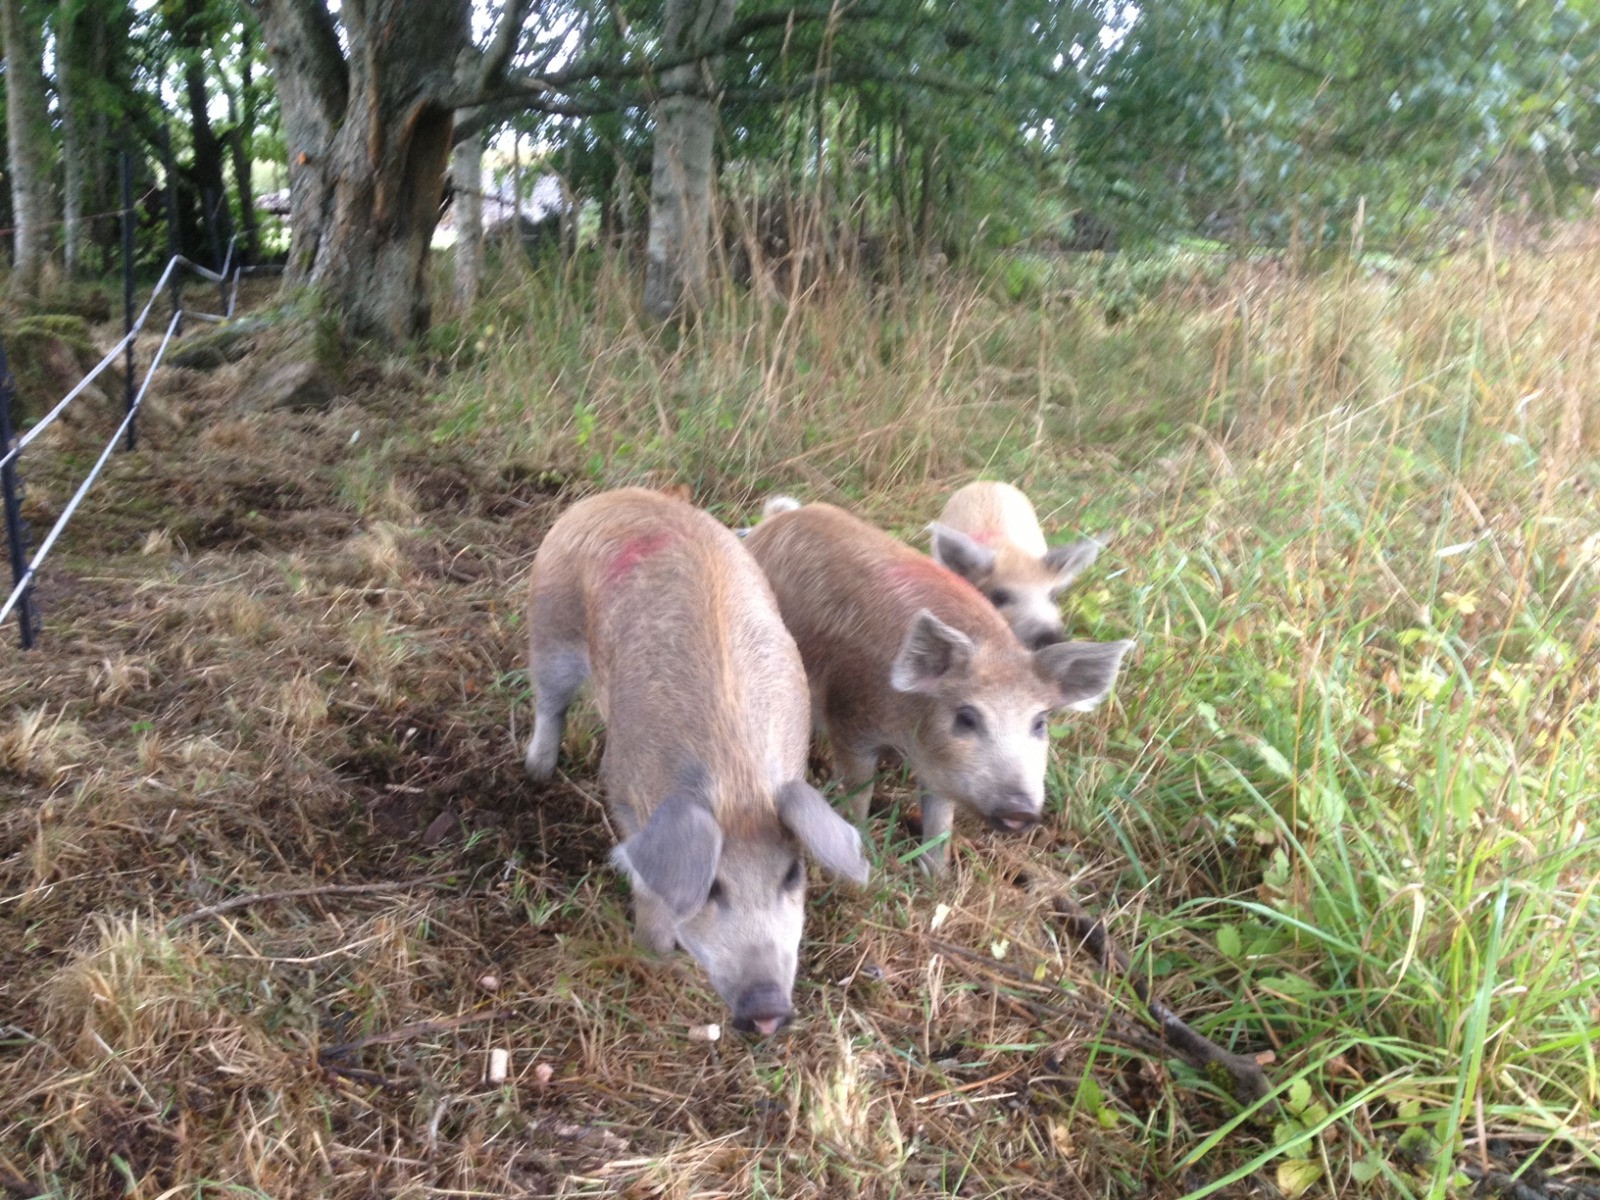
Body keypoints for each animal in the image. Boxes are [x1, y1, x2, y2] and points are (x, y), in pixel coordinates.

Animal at [522, 487, 869, 1035]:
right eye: (712, 887)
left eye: (792, 874)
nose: (768, 1010)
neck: (736, 780)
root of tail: (614, 495)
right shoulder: (623, 787)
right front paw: (654, 954)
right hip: (549, 620)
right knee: (548, 701)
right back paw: (537, 773)